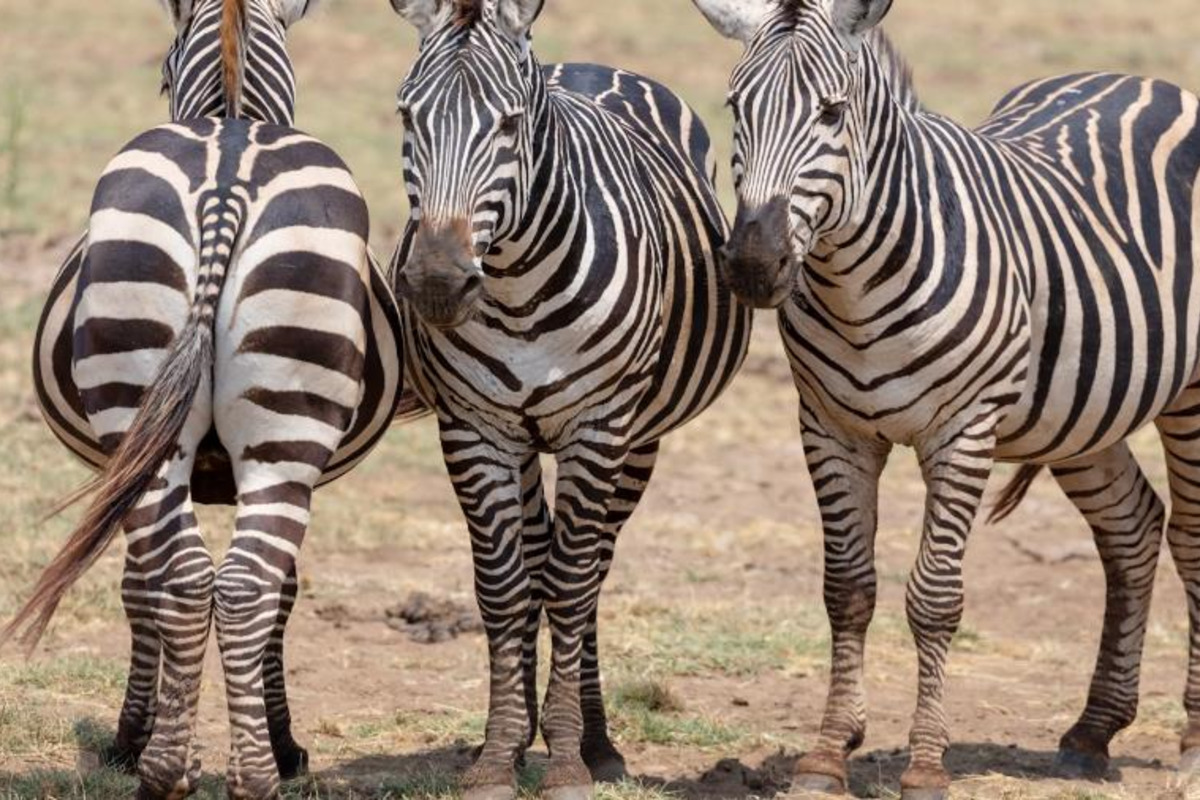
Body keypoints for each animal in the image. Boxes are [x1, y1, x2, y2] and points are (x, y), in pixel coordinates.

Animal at [8, 1, 413, 797]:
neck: (232, 113)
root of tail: (227, 174)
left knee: (200, 579)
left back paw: (172, 766)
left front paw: (134, 737)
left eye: (162, 74)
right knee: (236, 583)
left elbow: (142, 588)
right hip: (274, 427)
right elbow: (269, 592)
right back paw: (240, 772)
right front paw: (275, 744)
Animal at [386, 1, 752, 797]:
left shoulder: (599, 426)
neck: (518, 288)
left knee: (590, 573)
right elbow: (504, 587)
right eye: (407, 115)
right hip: (526, 441)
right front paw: (500, 753)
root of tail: (583, 65)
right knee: (537, 558)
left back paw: (595, 740)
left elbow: (573, 582)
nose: (435, 284)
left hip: (639, 437)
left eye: (509, 124)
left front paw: (564, 759)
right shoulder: (475, 430)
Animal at [692, 0, 1200, 797]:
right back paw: (1092, 731)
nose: (750, 264)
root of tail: (1141, 79)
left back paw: (1193, 742)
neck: (854, 285)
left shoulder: (962, 431)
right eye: (735, 108)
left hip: (1189, 395)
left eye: (832, 113)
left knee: (1191, 537)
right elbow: (847, 589)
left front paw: (927, 763)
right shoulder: (831, 429)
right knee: (1132, 525)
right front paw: (827, 754)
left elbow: (934, 599)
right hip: (1082, 409)